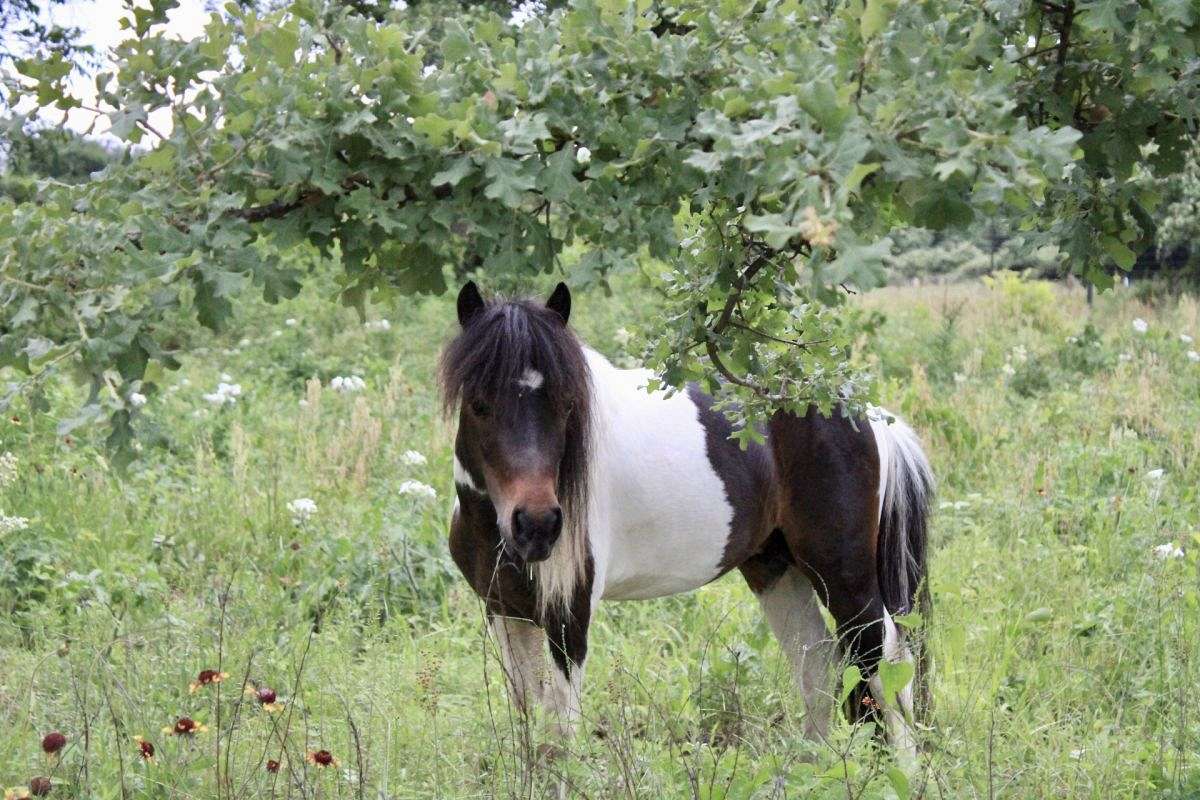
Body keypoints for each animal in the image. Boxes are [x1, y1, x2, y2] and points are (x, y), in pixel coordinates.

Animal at [439, 281, 933, 757]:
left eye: (566, 404)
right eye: (479, 404)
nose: (538, 526)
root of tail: (865, 412)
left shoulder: (569, 614)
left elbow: (560, 733)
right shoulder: (505, 612)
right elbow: (530, 725)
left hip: (845, 575)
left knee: (884, 663)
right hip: (776, 568)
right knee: (818, 664)